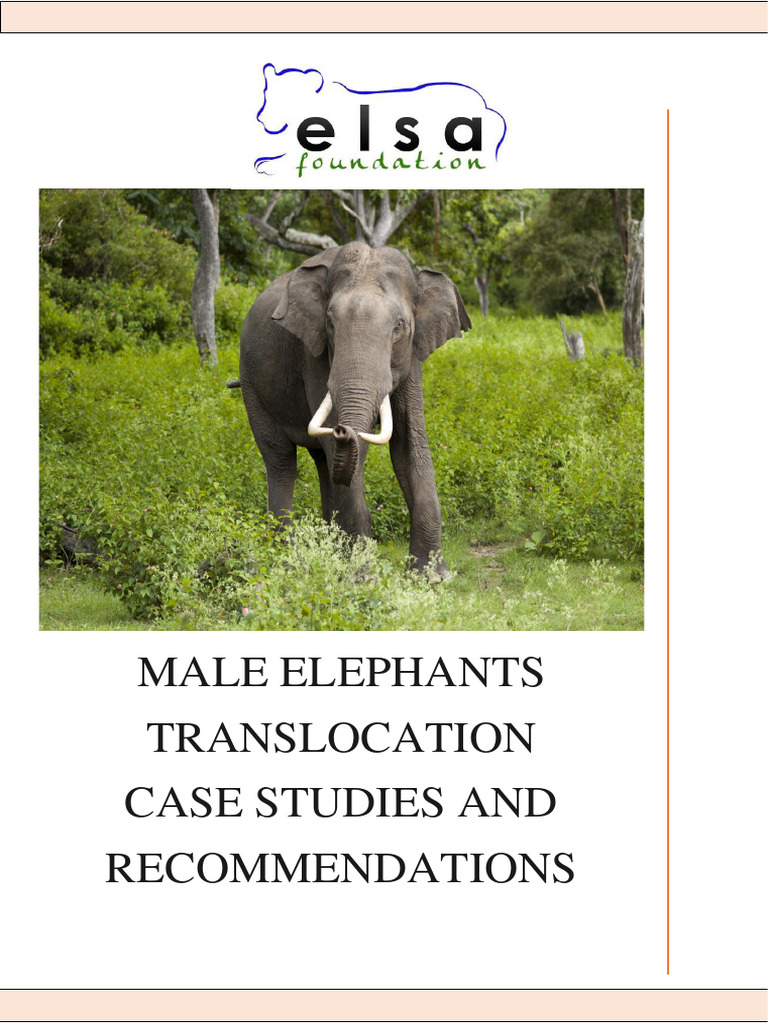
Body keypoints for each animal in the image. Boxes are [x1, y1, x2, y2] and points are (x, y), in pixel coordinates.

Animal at [237, 241, 471, 578]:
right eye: (330, 323)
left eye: (399, 325)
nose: (342, 428)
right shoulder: (315, 355)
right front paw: (361, 576)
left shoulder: (412, 357)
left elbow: (409, 444)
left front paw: (432, 577)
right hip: (251, 386)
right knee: (281, 460)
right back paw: (288, 560)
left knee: (323, 462)